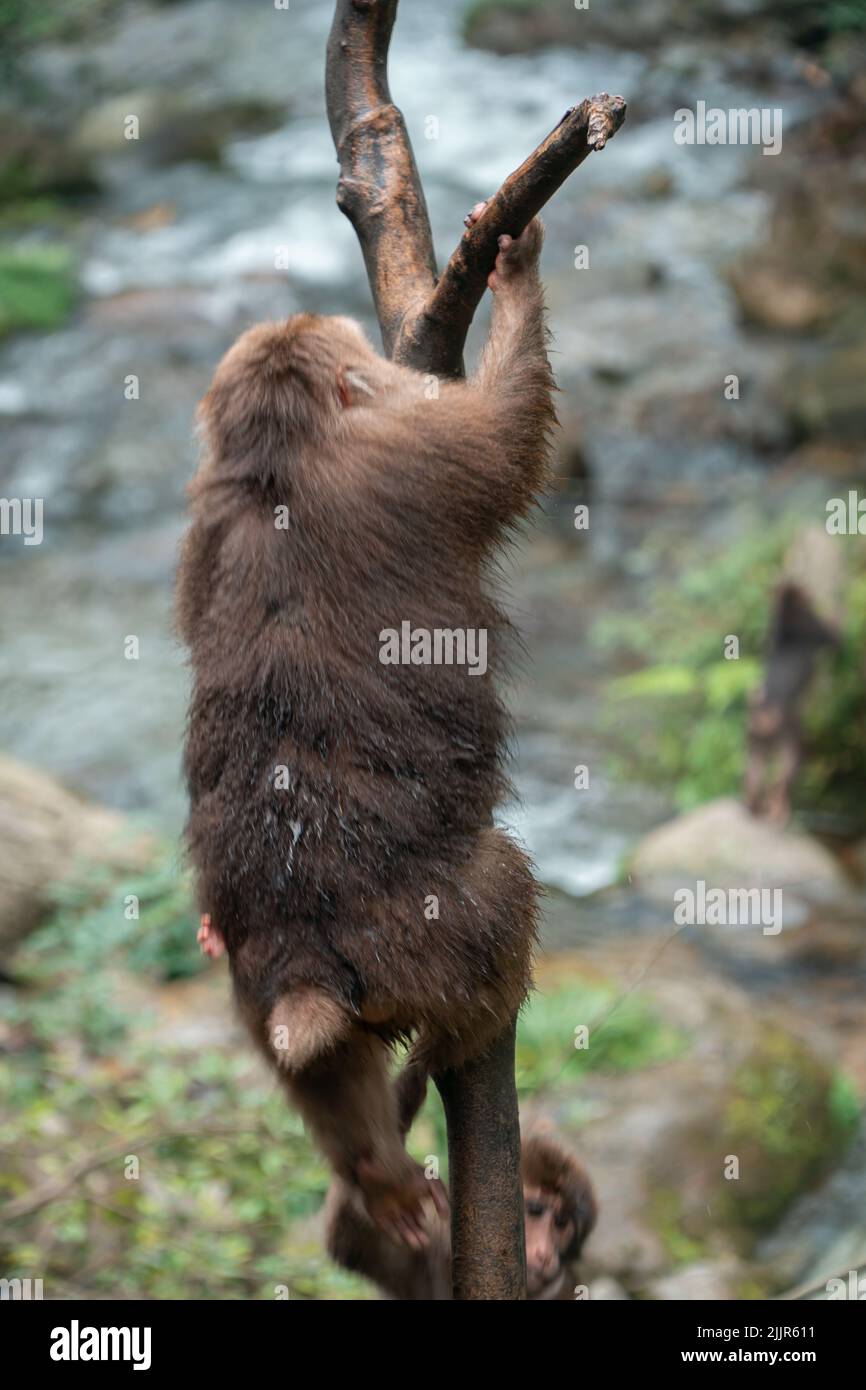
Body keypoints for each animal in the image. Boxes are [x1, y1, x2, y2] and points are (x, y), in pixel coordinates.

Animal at [176, 203, 556, 1248]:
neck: (276, 460)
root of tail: (306, 959)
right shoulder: (418, 448)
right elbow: (506, 442)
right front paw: (513, 269)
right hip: (425, 934)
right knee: (498, 891)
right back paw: (464, 1039)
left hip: (251, 985)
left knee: (321, 1075)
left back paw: (377, 1173)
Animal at [744, 582, 839, 824]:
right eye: (805, 593)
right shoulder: (822, 632)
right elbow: (837, 635)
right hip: (791, 741)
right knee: (781, 782)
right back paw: (778, 812)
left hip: (754, 745)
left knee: (754, 780)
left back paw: (753, 807)